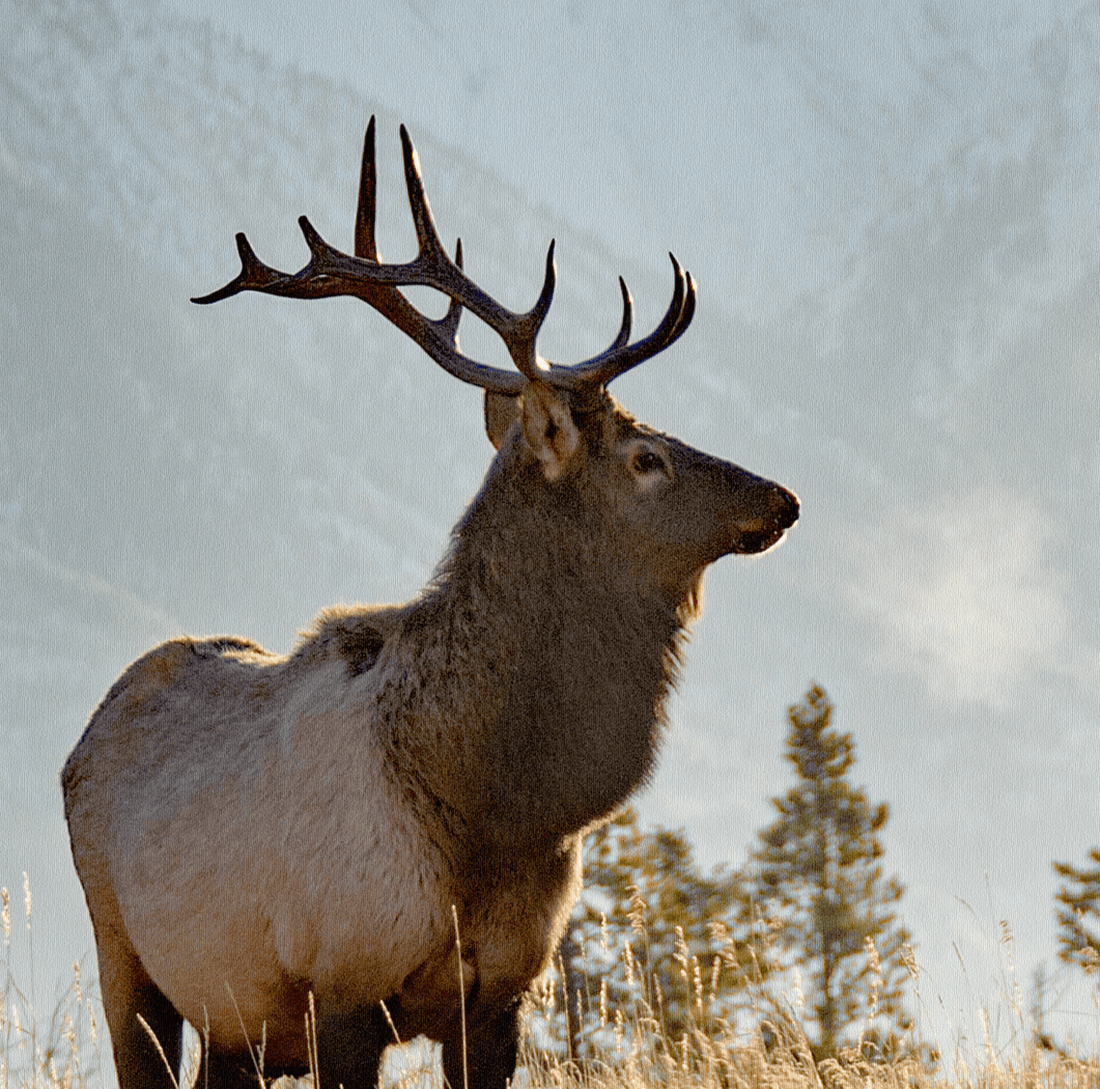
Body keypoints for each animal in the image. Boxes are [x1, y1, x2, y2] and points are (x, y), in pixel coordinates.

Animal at [62, 118, 798, 1089]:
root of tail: (84, 736)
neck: (492, 811)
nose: (781, 497)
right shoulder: (341, 983)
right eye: (647, 458)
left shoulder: (500, 994)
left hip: (233, 1023)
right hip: (127, 959)